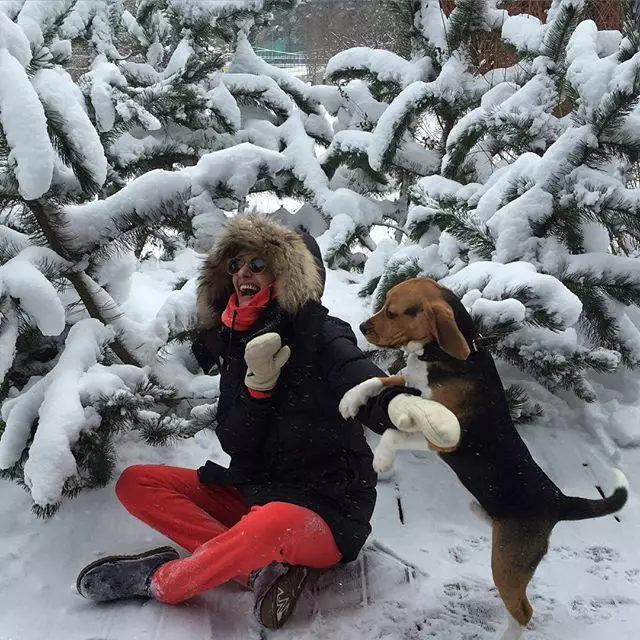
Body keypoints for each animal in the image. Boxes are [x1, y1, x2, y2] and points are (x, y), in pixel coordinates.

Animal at [338, 278, 628, 640]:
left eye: (392, 312)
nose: (363, 327)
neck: (449, 356)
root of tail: (556, 500)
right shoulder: (409, 381)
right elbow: (379, 378)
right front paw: (351, 399)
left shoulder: (445, 439)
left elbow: (394, 431)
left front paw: (383, 459)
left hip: (506, 564)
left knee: (523, 611)